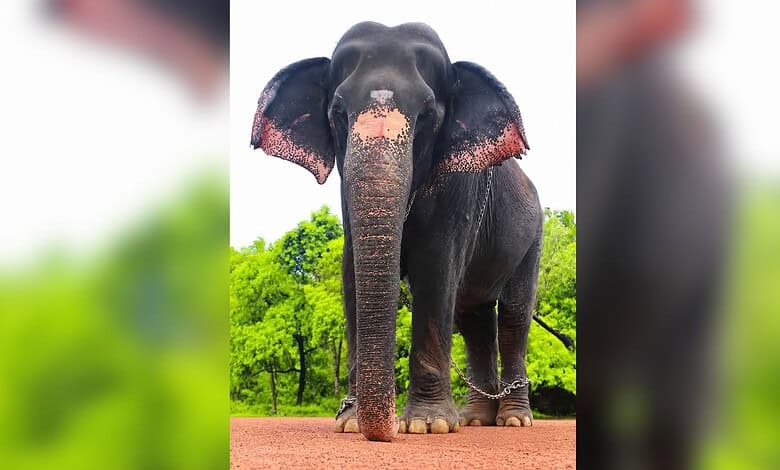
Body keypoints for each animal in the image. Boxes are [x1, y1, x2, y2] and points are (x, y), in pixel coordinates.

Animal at [251, 22, 542, 442]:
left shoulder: (459, 192)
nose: (386, 430)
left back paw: (513, 420)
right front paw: (350, 423)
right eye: (337, 113)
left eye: (428, 115)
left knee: (514, 317)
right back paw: (475, 420)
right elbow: (351, 277)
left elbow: (436, 273)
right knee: (474, 320)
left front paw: (428, 425)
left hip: (533, 238)